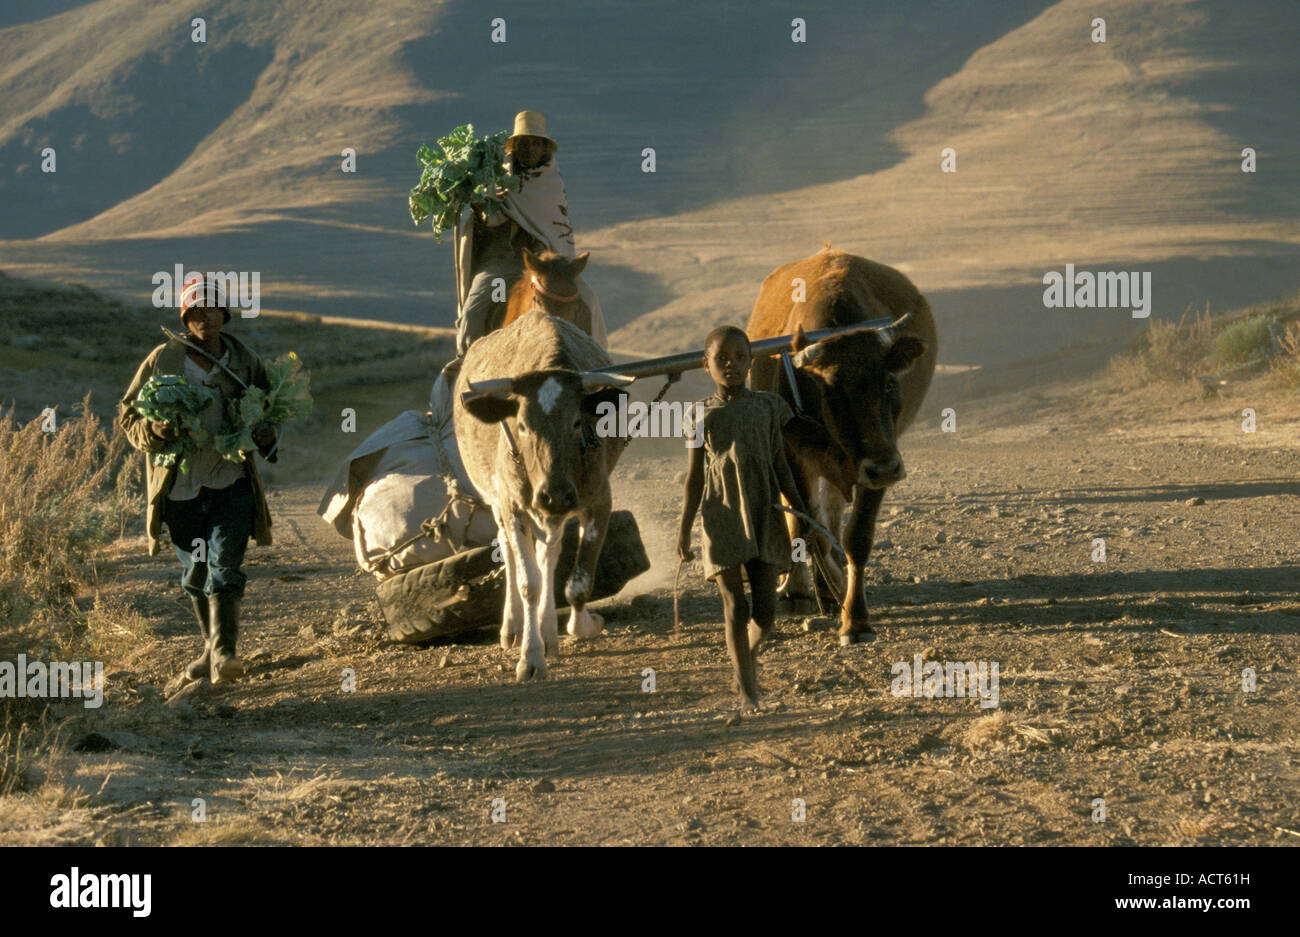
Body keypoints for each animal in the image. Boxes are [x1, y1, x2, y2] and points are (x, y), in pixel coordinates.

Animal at [453, 309, 632, 681]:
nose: (555, 495)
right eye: (522, 426)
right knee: (510, 551)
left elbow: (577, 583)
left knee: (549, 554)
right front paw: (531, 656)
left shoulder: (599, 501)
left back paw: (548, 629)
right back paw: (513, 626)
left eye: (577, 422)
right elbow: (528, 583)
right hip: (500, 505)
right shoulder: (512, 506)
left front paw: (581, 624)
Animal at [747, 246, 937, 645]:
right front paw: (829, 591)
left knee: (831, 512)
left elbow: (857, 538)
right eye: (832, 393)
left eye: (888, 383)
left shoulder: (879, 456)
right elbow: (808, 525)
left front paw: (857, 618)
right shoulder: (794, 456)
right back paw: (798, 589)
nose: (886, 468)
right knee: (805, 520)